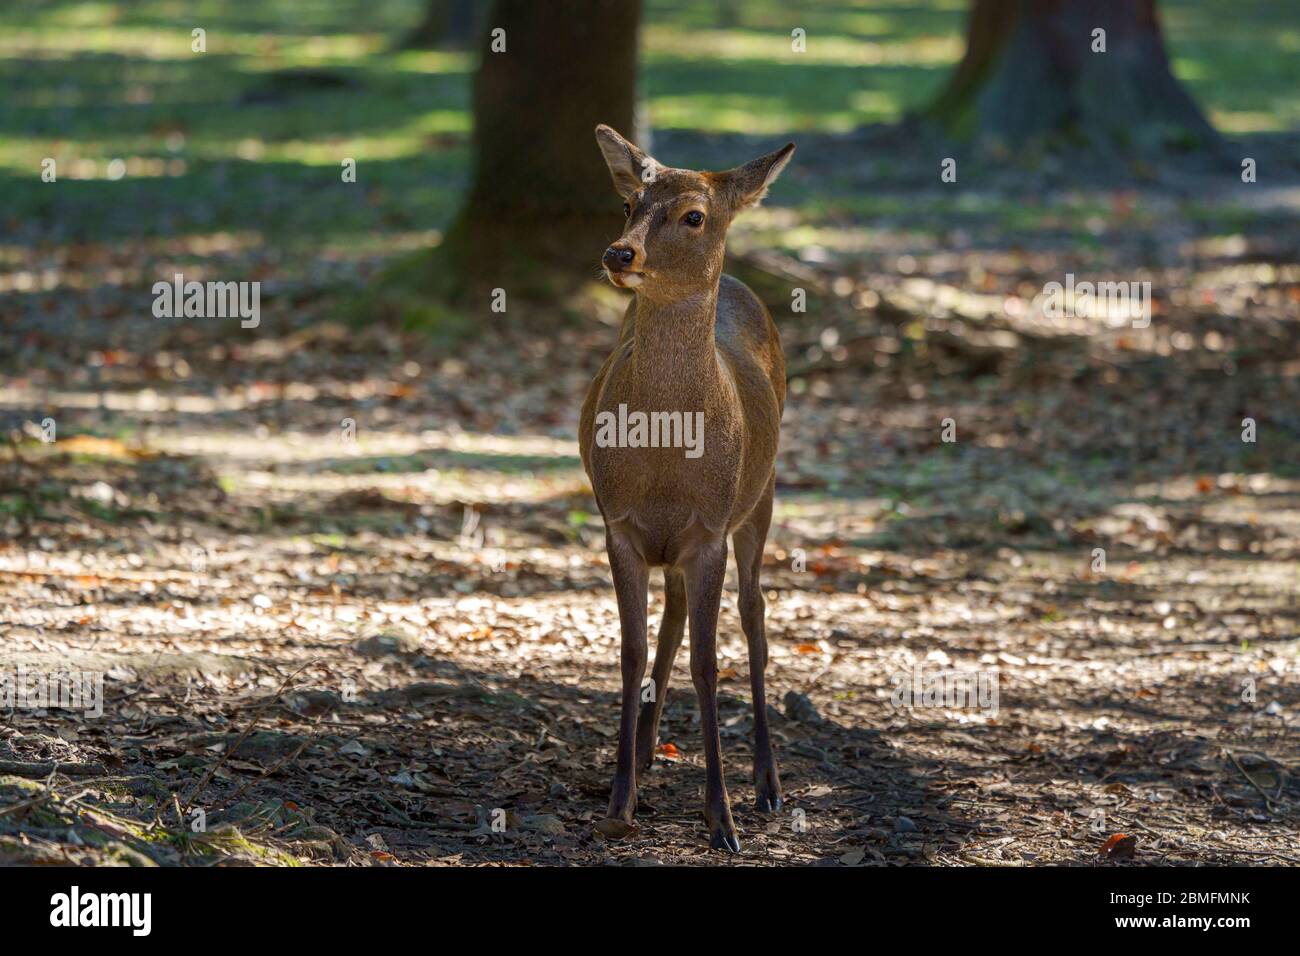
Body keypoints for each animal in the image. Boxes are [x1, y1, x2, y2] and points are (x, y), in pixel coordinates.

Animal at [579, 124, 794, 852]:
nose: (620, 252)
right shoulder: (619, 523)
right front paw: (618, 802)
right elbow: (632, 650)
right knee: (671, 619)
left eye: (694, 216)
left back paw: (768, 784)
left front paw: (720, 817)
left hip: (760, 497)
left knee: (755, 616)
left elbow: (708, 660)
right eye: (628, 203)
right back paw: (646, 755)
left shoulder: (709, 530)